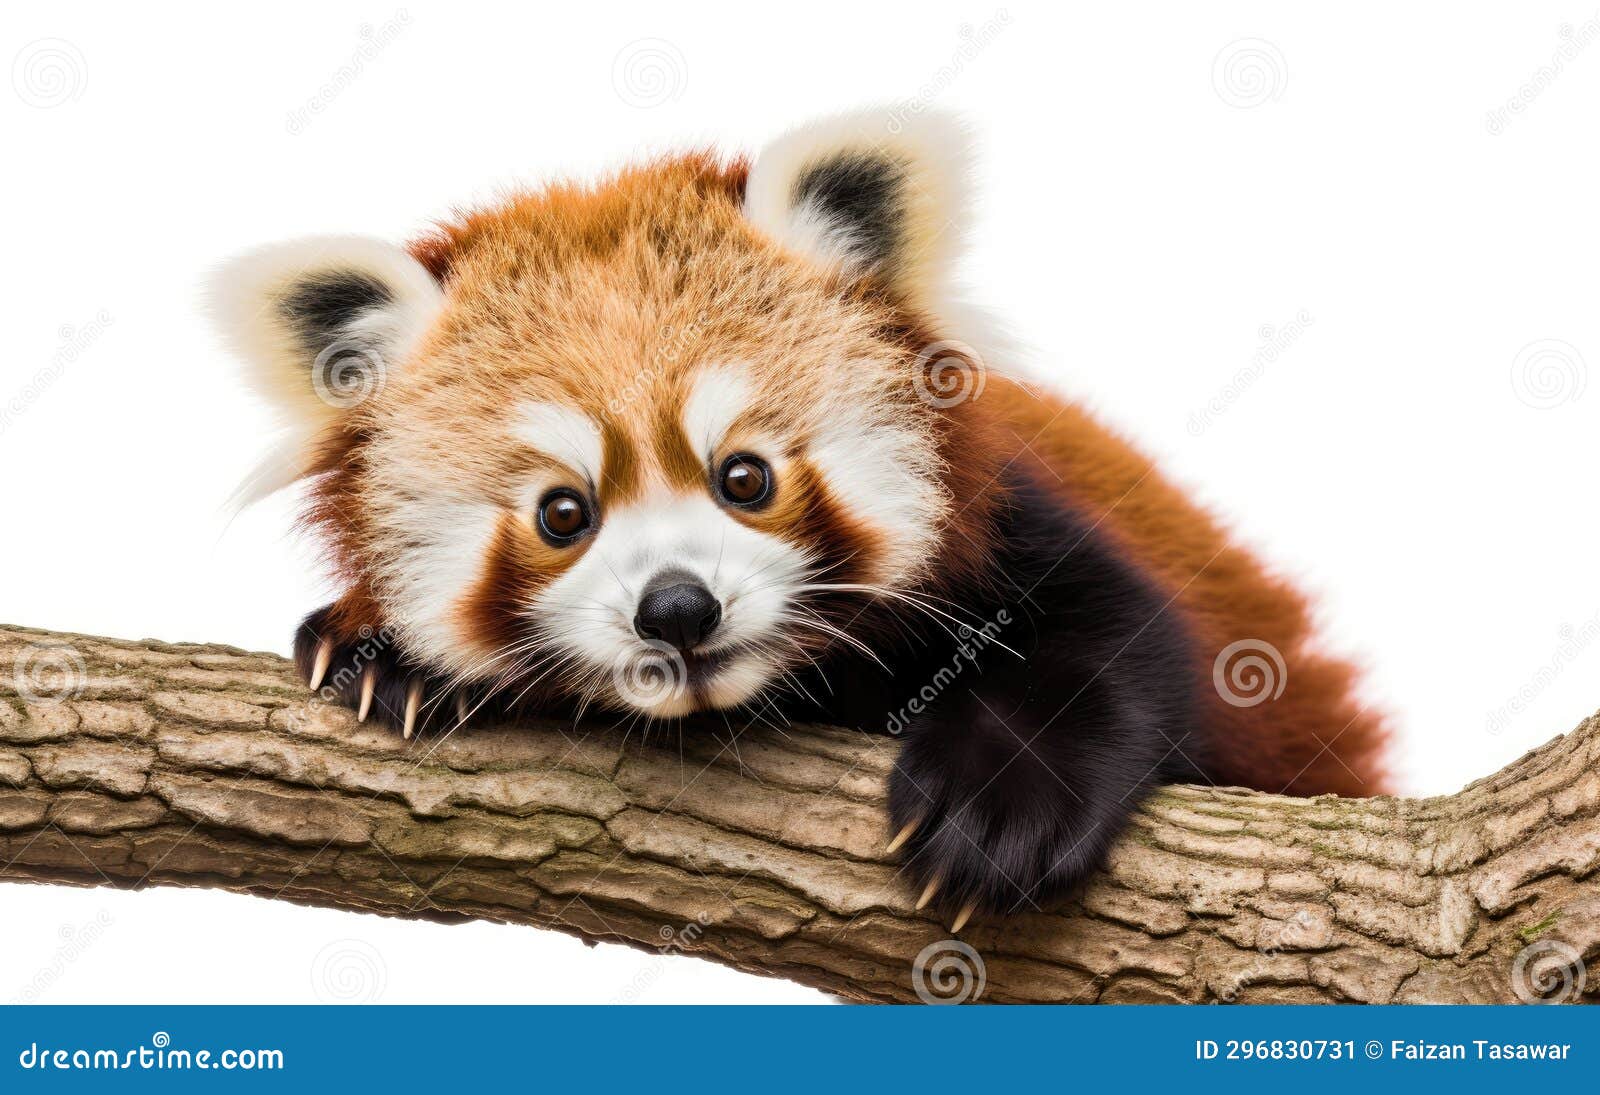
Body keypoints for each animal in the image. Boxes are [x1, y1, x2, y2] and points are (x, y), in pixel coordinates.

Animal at [209, 109, 1388, 931]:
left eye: (744, 476)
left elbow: (1124, 632)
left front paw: (999, 802)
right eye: (562, 513)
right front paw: (388, 653)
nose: (677, 610)